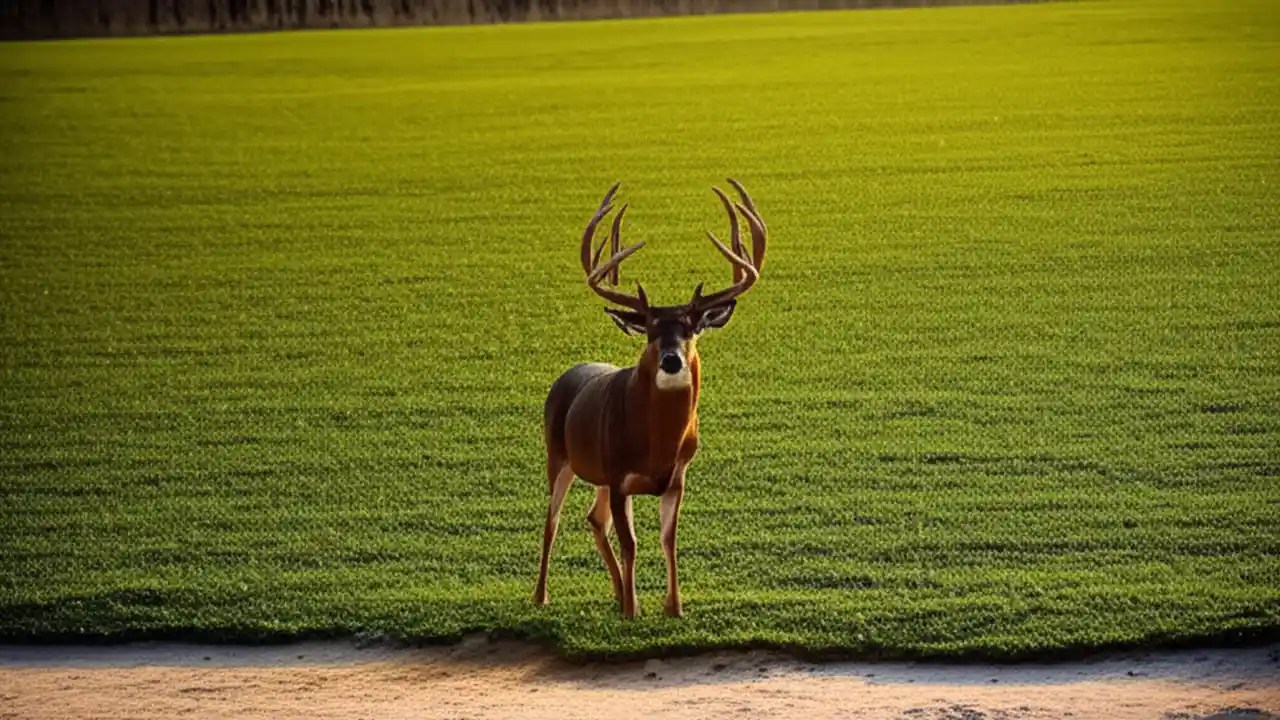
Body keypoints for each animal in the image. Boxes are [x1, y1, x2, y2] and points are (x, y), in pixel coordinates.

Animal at [534, 179, 767, 619]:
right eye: (650, 331)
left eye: (692, 328)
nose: (672, 359)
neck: (657, 444)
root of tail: (567, 375)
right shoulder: (618, 474)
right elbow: (632, 543)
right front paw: (633, 610)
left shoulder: (677, 476)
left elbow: (667, 539)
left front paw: (672, 607)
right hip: (560, 457)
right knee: (551, 521)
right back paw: (542, 596)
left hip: (597, 476)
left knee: (594, 519)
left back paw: (614, 592)